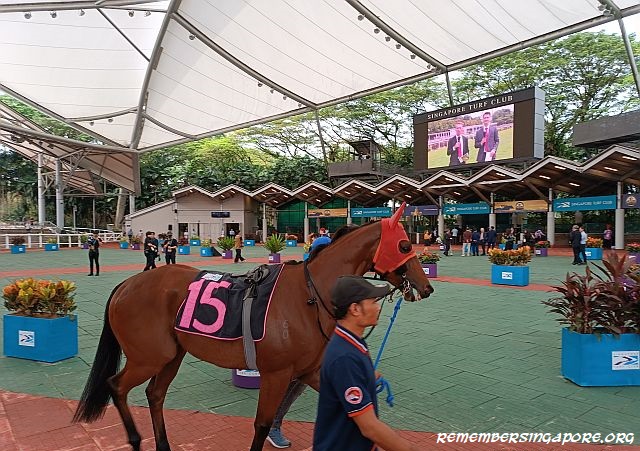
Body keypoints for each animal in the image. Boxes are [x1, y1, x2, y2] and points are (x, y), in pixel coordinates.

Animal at [73, 207, 434, 451]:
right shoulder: (275, 373)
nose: (426, 287)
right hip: (149, 357)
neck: (308, 295)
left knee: (154, 394)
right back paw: (135, 439)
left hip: (172, 355)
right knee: (116, 386)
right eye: (405, 246)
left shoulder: (311, 371)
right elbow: (261, 424)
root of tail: (125, 285)